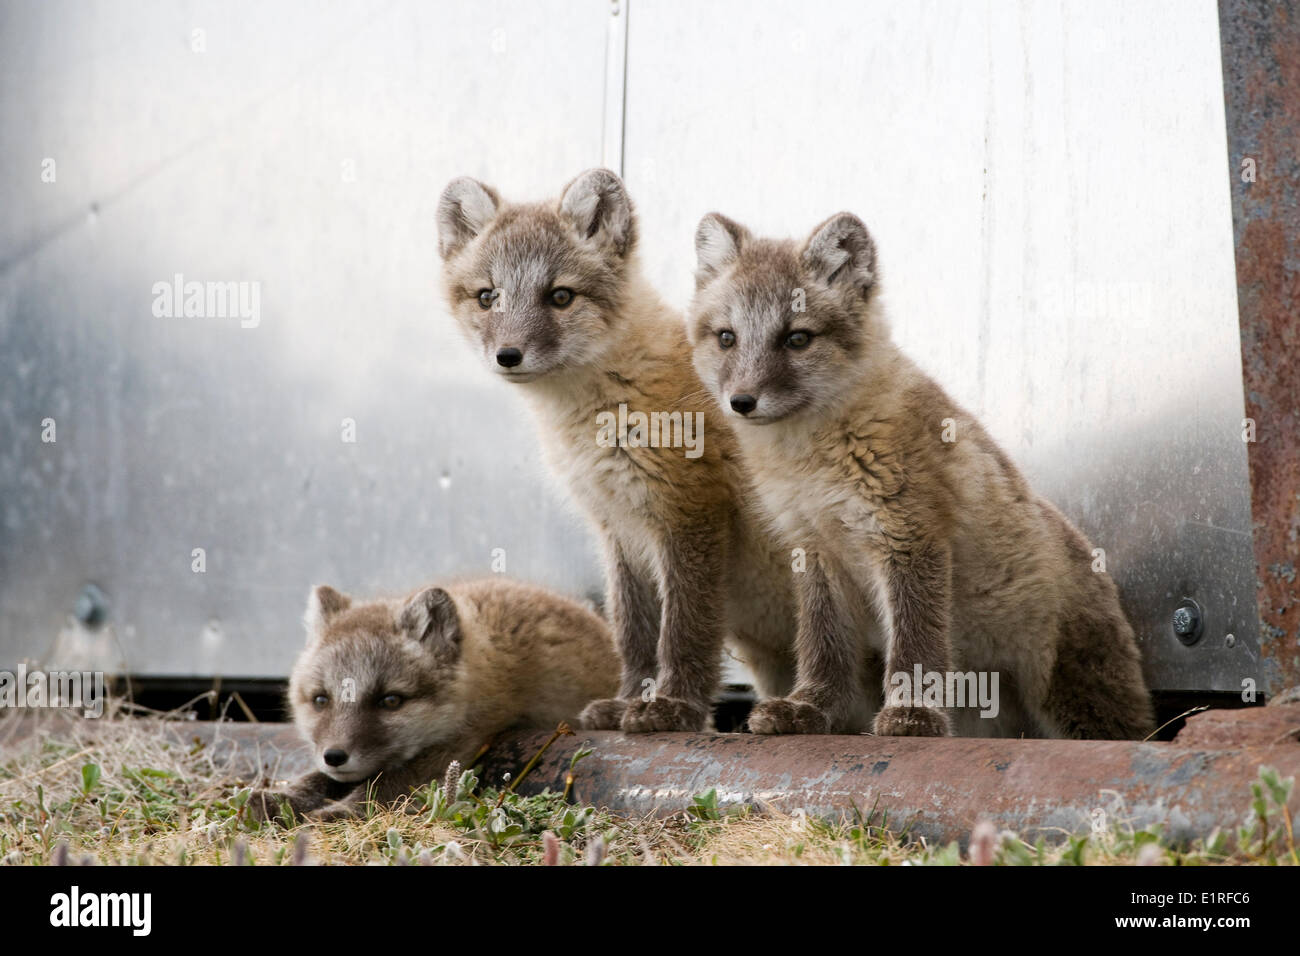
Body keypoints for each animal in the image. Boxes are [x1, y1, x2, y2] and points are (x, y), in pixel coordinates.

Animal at [250, 577, 618, 822]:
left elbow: (383, 787)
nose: (335, 756)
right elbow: (315, 779)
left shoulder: (457, 745)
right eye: (321, 700)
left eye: (391, 700)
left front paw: (331, 814)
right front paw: (279, 799)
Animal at [435, 168, 797, 733]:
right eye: (488, 296)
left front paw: (674, 708)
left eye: (560, 296)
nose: (508, 355)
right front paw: (629, 702)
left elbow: (685, 630)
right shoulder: (619, 530)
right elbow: (633, 632)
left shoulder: (689, 511)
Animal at [685, 210, 1155, 739]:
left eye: (797, 338)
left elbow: (915, 643)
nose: (741, 402)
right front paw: (807, 709)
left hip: (1072, 702)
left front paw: (913, 713)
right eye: (726, 337)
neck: (813, 463)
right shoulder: (816, 551)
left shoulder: (909, 536)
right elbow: (823, 649)